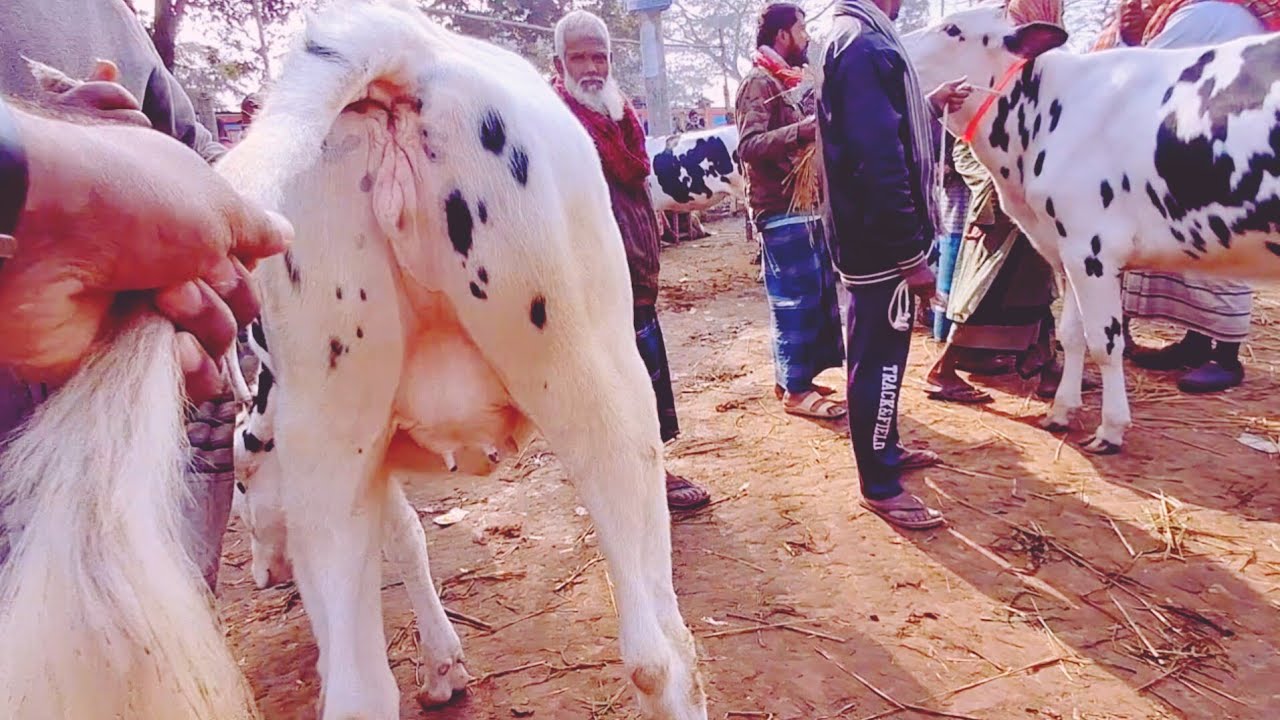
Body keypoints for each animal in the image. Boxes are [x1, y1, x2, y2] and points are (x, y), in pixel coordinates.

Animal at [217, 2, 706, 719]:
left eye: (243, 486)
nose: (262, 575)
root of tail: (390, 43)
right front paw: (445, 666)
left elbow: (405, 538)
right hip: (600, 386)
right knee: (659, 653)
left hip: (332, 442)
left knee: (359, 693)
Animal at [903, 8, 1280, 454]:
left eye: (953, 29)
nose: (894, 45)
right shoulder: (1067, 251)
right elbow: (1072, 335)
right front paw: (1062, 411)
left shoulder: (1093, 250)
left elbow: (1105, 342)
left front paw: (1111, 430)